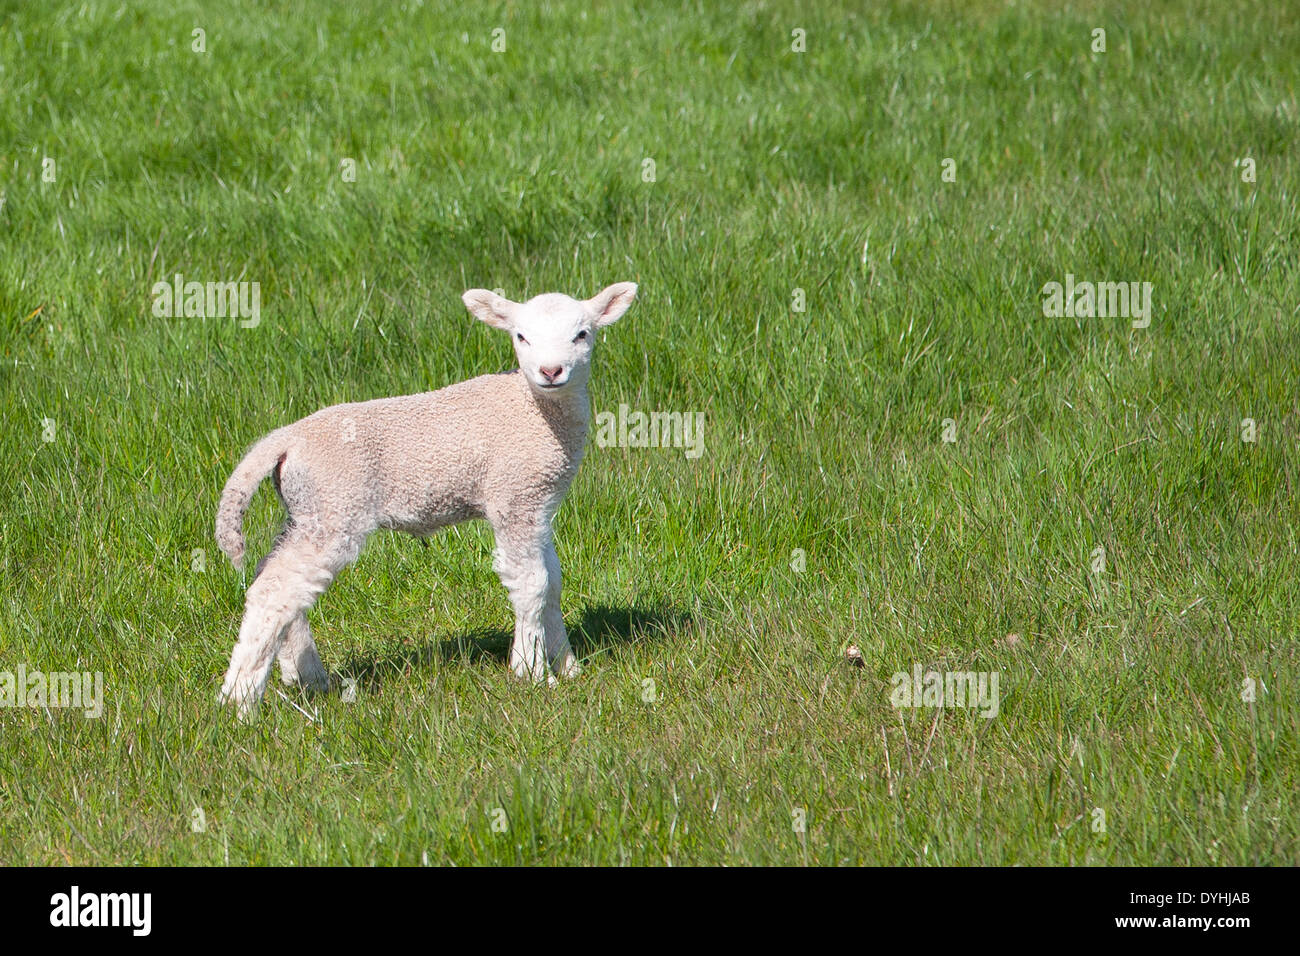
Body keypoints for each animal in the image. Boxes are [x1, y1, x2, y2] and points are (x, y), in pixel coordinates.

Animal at [214, 282, 638, 716]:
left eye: (582, 334)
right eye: (521, 336)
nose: (550, 372)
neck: (533, 409)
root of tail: (285, 440)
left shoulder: (539, 502)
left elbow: (552, 582)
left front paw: (568, 667)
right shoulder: (514, 497)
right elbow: (531, 584)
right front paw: (533, 673)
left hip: (307, 509)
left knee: (276, 579)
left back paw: (307, 676)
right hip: (336, 508)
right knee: (274, 591)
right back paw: (240, 702)